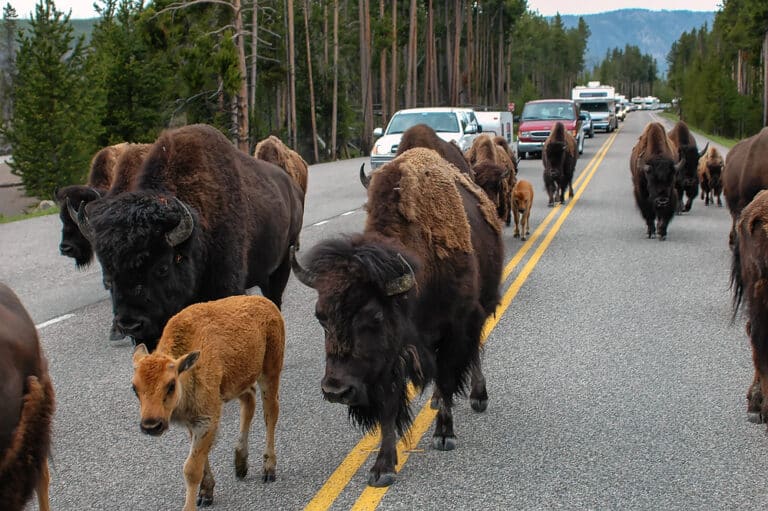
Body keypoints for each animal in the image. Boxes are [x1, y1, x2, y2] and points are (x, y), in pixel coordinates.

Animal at [74, 124, 304, 350]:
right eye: (108, 275)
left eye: (162, 268)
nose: (131, 324)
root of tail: (291, 187)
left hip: (283, 263)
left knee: (275, 299)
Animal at [292, 147, 503, 487]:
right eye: (320, 316)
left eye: (374, 315)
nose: (336, 390)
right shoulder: (388, 360)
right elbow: (389, 408)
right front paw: (382, 468)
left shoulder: (455, 330)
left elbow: (448, 379)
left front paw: (444, 435)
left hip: (480, 310)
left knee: (474, 356)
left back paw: (477, 396)